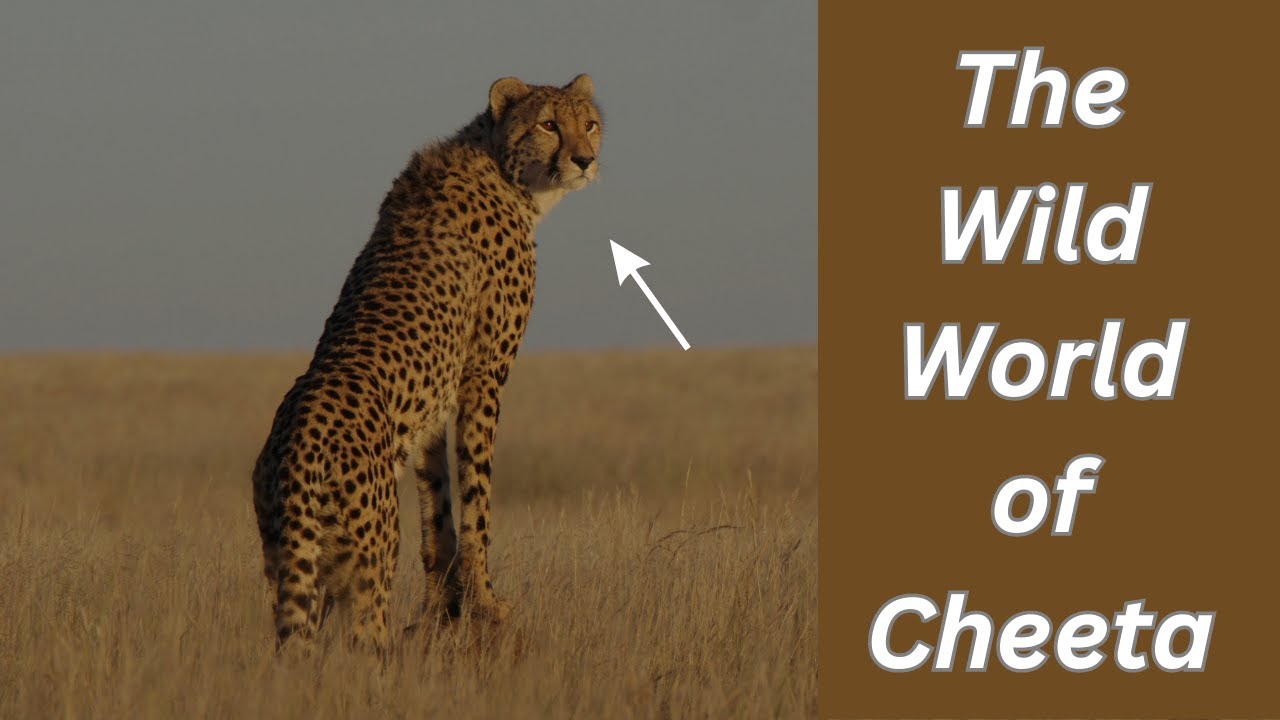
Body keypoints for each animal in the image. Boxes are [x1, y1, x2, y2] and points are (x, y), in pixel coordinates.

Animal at [251, 73, 602, 651]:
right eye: (549, 124)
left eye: (590, 122)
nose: (584, 159)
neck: (502, 168)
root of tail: (300, 442)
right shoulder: (484, 375)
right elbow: (477, 498)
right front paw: (486, 602)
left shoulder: (434, 407)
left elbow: (437, 503)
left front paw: (446, 603)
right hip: (368, 559)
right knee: (365, 641)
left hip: (293, 563)